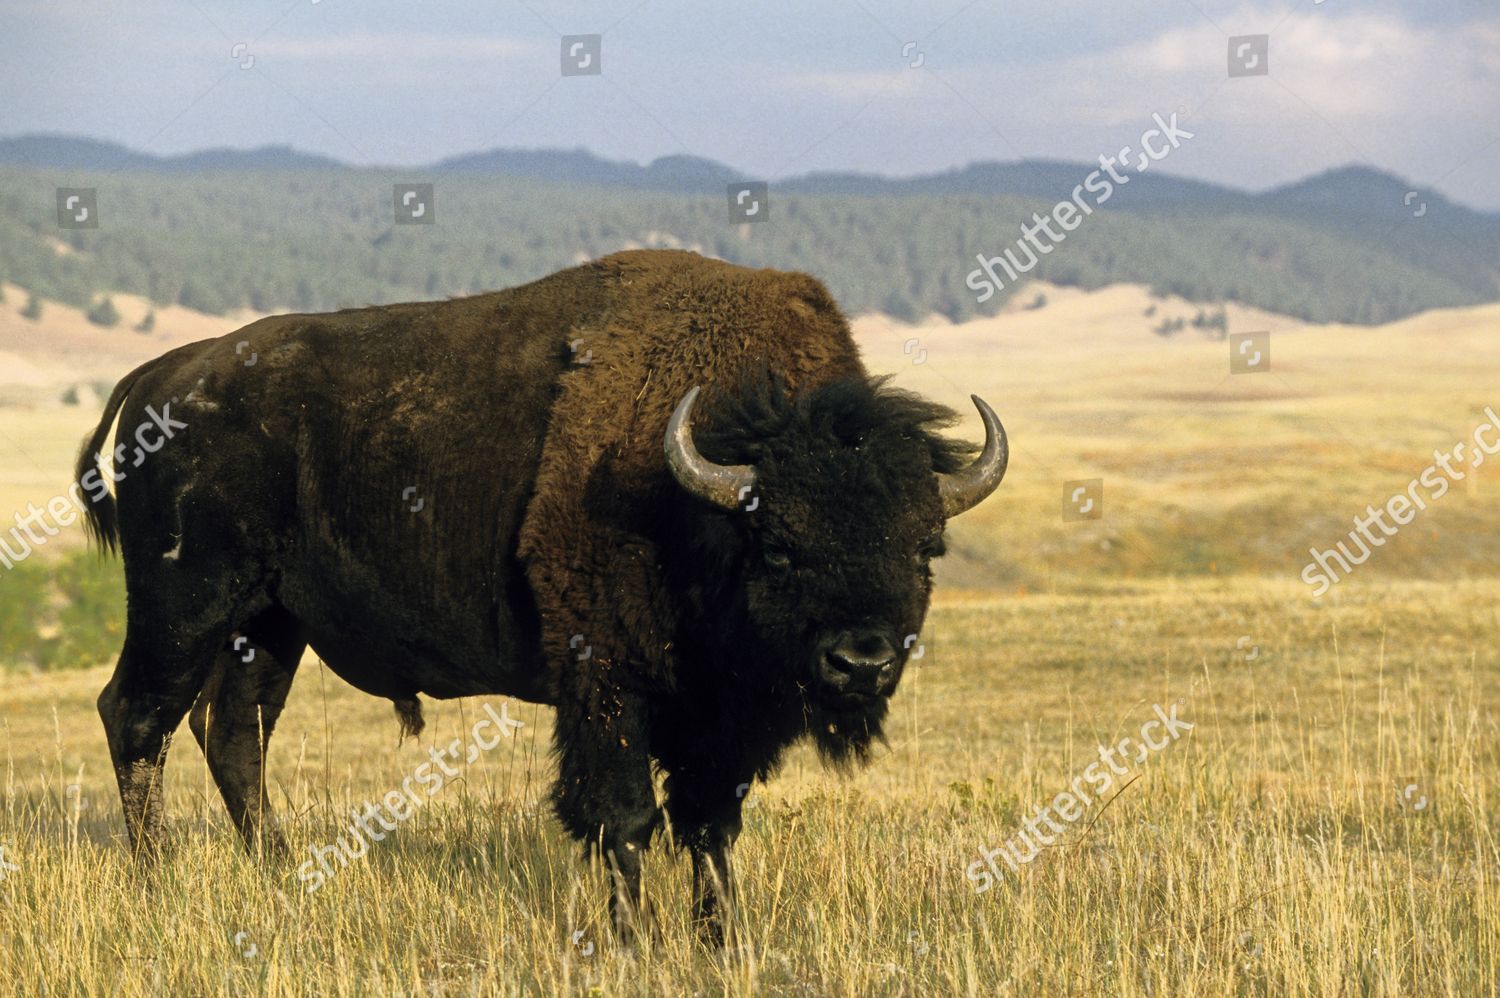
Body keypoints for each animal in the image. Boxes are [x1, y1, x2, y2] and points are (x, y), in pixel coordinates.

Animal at [77, 249, 1007, 943]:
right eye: (777, 546)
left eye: (925, 548)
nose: (862, 659)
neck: (696, 494)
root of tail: (162, 375)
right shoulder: (606, 683)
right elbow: (624, 817)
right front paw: (631, 943)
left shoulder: (723, 719)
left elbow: (709, 822)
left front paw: (722, 941)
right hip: (186, 604)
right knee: (139, 717)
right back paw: (158, 885)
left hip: (271, 624)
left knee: (234, 731)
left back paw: (279, 871)